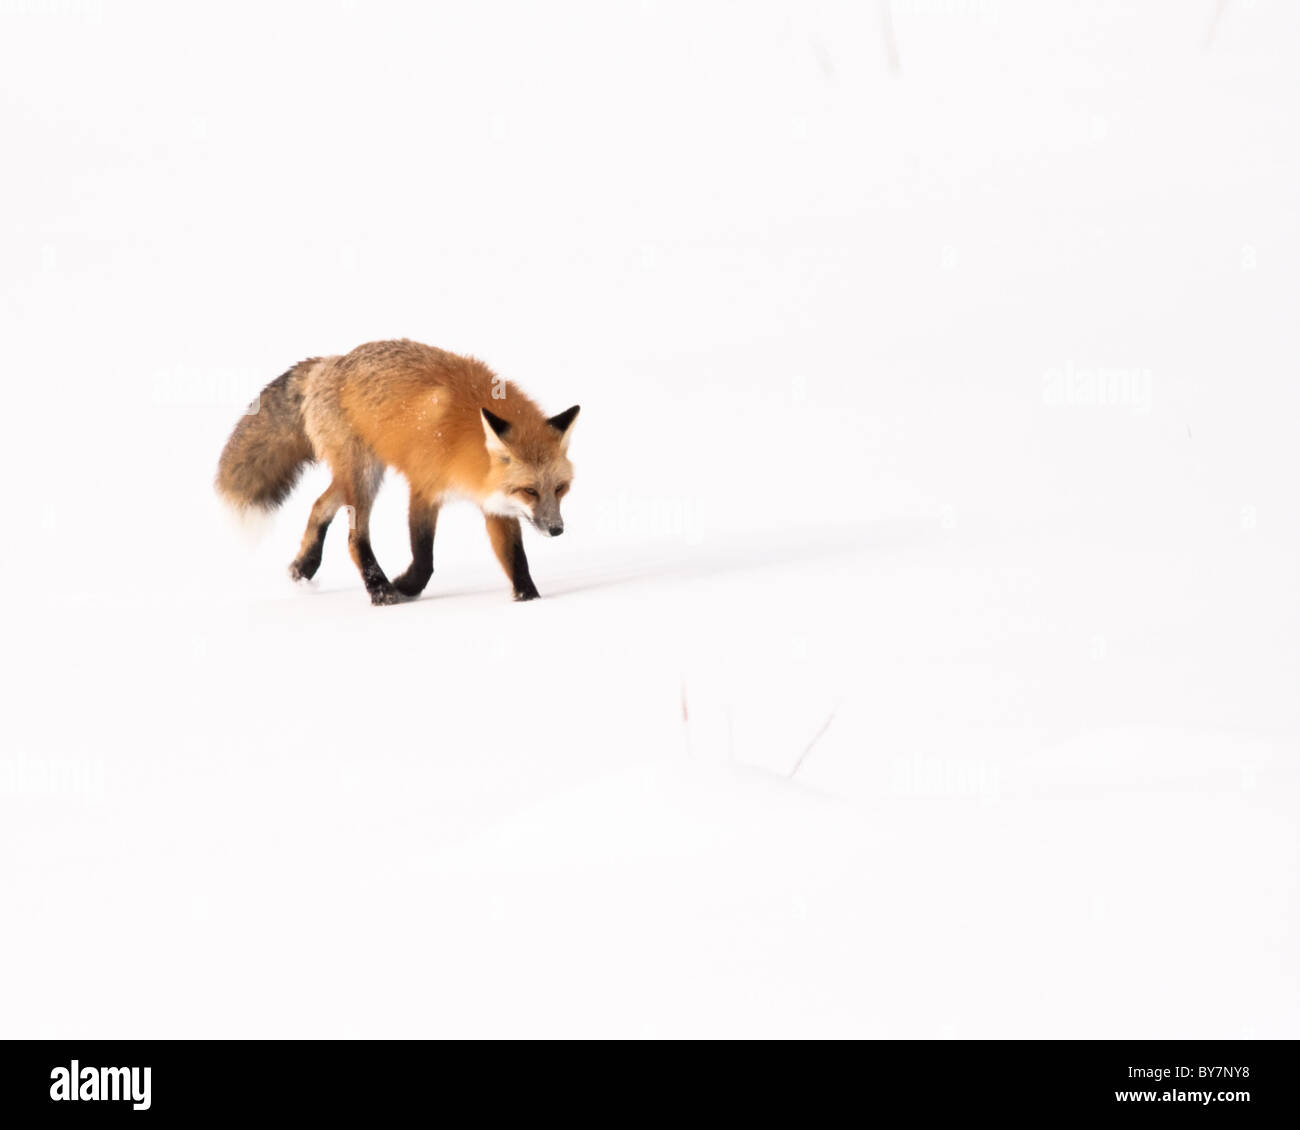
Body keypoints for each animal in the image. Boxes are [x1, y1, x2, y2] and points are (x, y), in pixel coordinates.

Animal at [215, 339, 579, 605]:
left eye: (560, 488)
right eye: (530, 490)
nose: (557, 530)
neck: (467, 441)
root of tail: (326, 363)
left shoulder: (494, 502)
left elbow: (515, 557)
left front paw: (528, 597)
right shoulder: (424, 488)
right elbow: (424, 556)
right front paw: (407, 585)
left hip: (359, 472)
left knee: (319, 505)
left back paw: (303, 566)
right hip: (362, 475)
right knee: (354, 537)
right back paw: (379, 588)